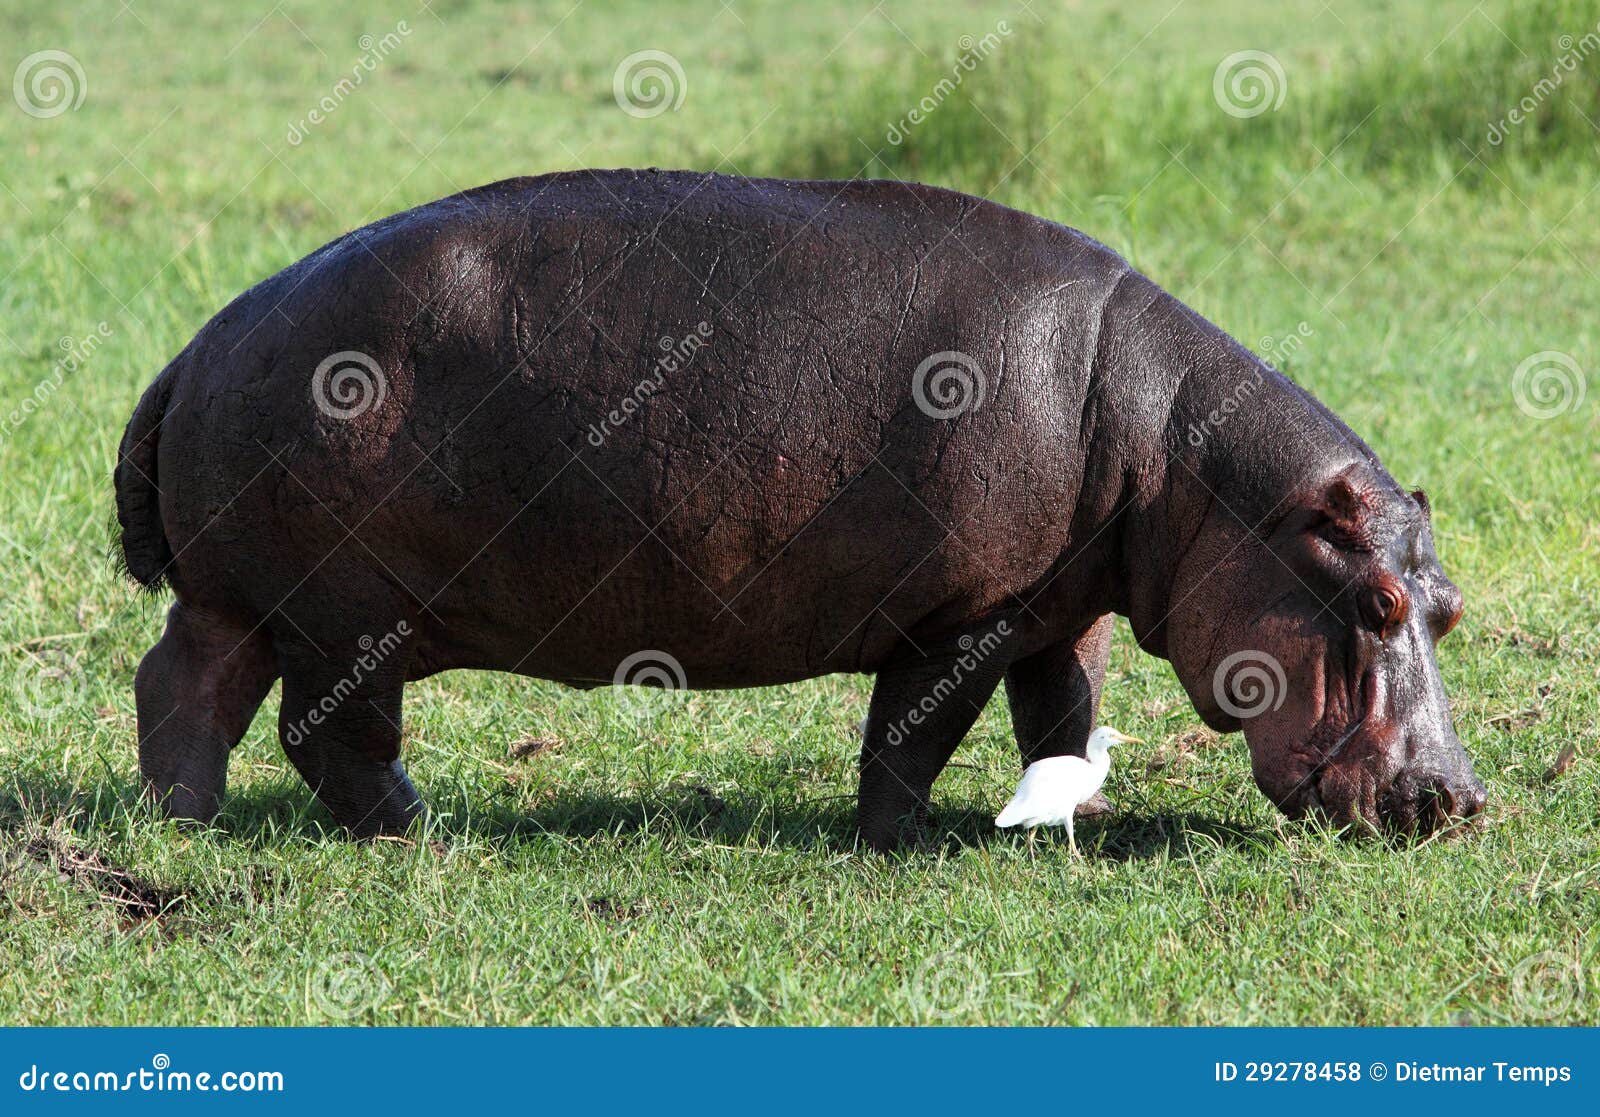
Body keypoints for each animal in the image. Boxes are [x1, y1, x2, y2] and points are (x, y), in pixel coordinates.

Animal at [115, 169, 1486, 850]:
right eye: (1373, 601)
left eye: (1449, 607)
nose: (1459, 800)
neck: (1186, 459)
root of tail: (197, 343)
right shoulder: (964, 614)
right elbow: (910, 733)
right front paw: (896, 843)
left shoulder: (1061, 603)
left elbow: (1063, 710)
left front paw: (1065, 816)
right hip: (351, 616)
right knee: (329, 736)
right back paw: (420, 832)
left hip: (252, 602)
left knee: (183, 686)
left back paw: (183, 824)